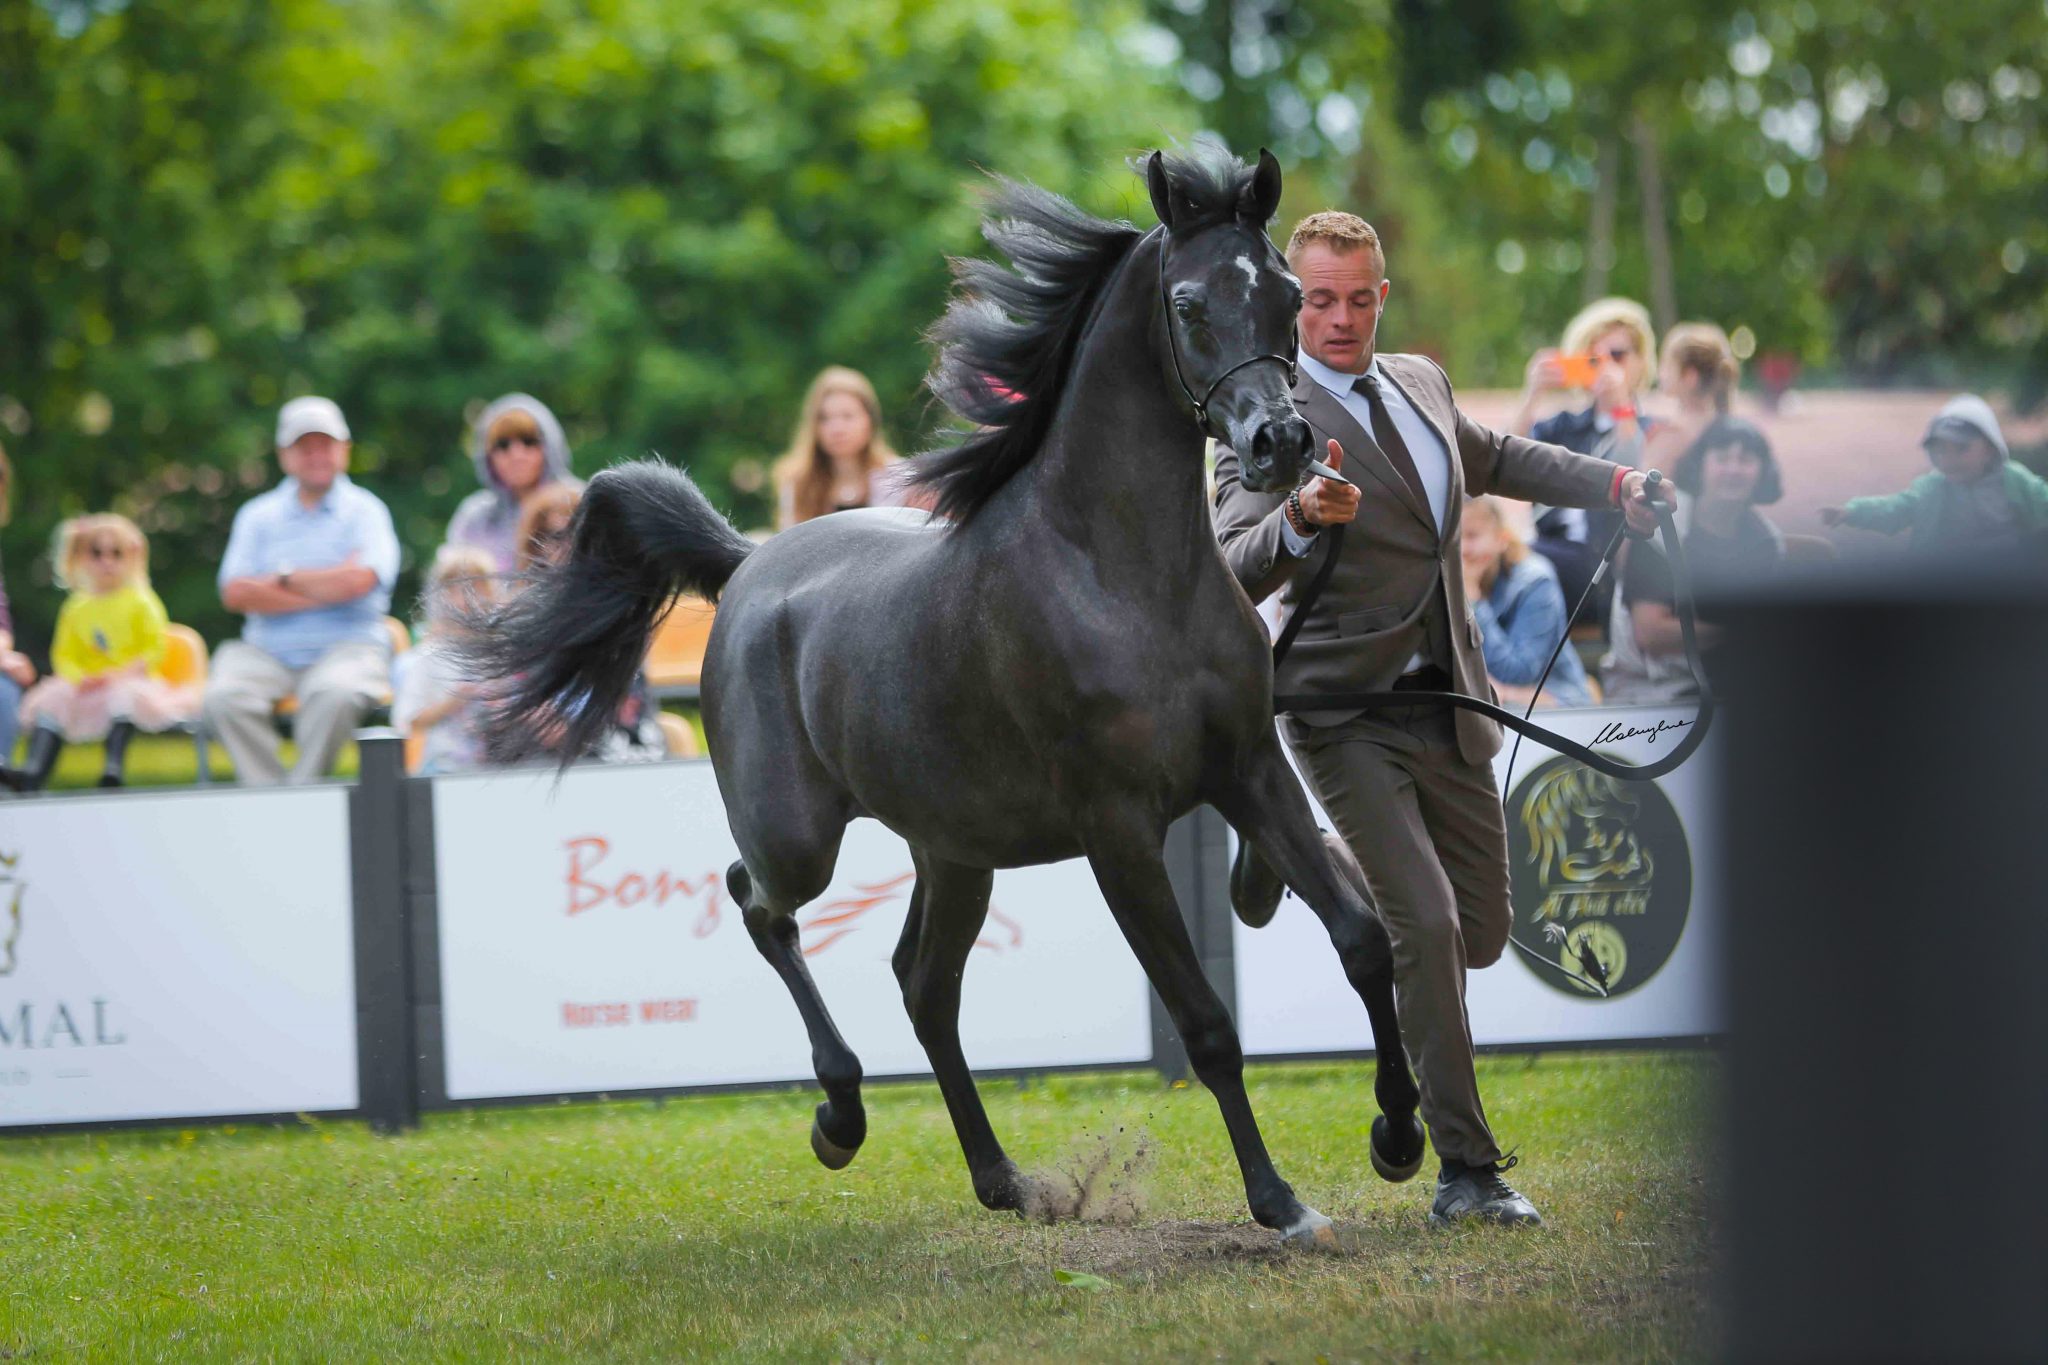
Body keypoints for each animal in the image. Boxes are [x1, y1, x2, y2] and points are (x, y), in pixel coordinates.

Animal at [466, 146, 1422, 1245]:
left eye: (1288, 295)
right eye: (1188, 304)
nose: (1282, 444)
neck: (1125, 576)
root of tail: (747, 566)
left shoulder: (1251, 774)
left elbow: (1364, 941)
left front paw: (1398, 1138)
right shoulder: (1120, 831)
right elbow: (1207, 1023)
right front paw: (1280, 1202)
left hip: (957, 849)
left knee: (921, 985)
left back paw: (1000, 1177)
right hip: (800, 837)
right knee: (759, 903)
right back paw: (838, 1116)